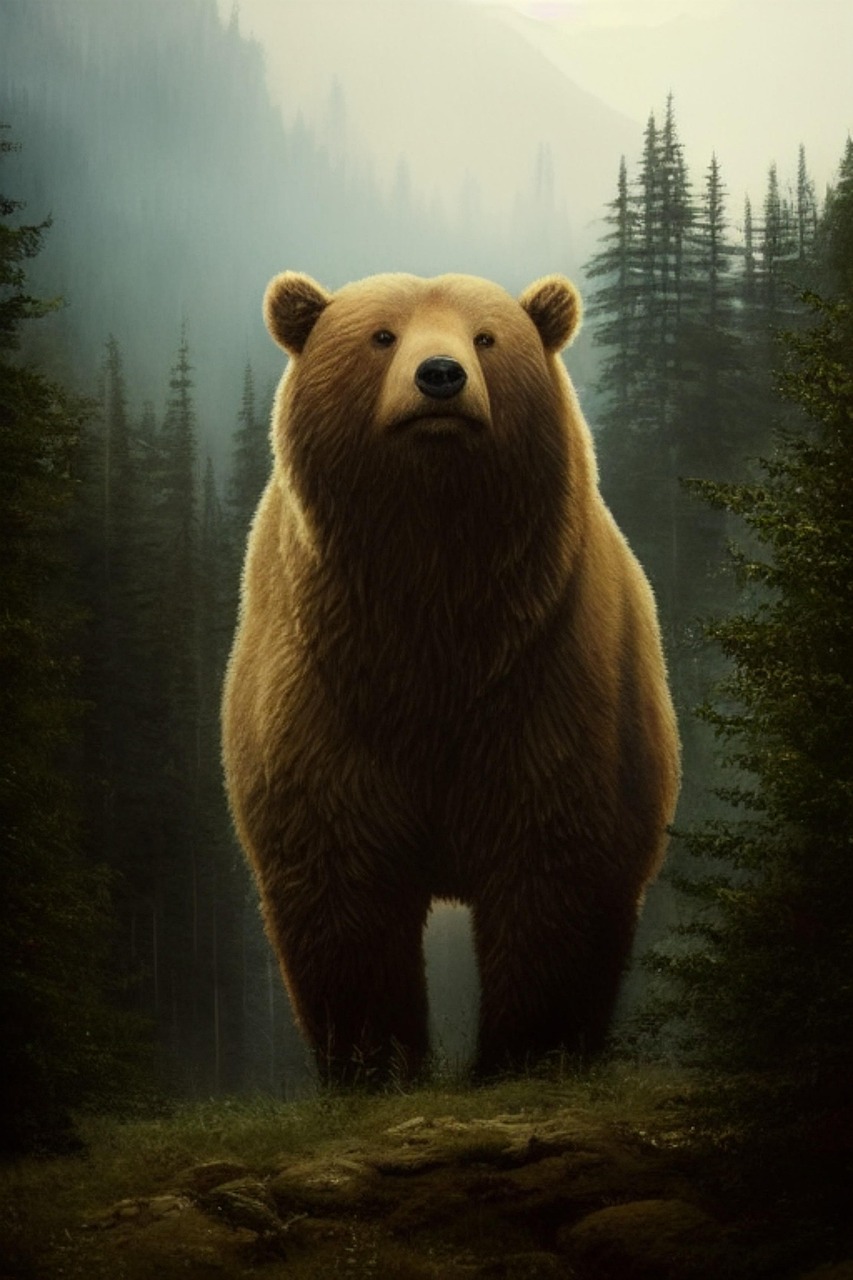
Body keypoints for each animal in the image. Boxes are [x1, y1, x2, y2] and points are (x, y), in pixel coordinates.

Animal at [222, 269, 680, 1085]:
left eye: (486, 337)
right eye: (382, 336)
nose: (440, 376)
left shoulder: (551, 680)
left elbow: (553, 872)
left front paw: (524, 1053)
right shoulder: (320, 694)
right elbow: (342, 885)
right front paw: (375, 1063)